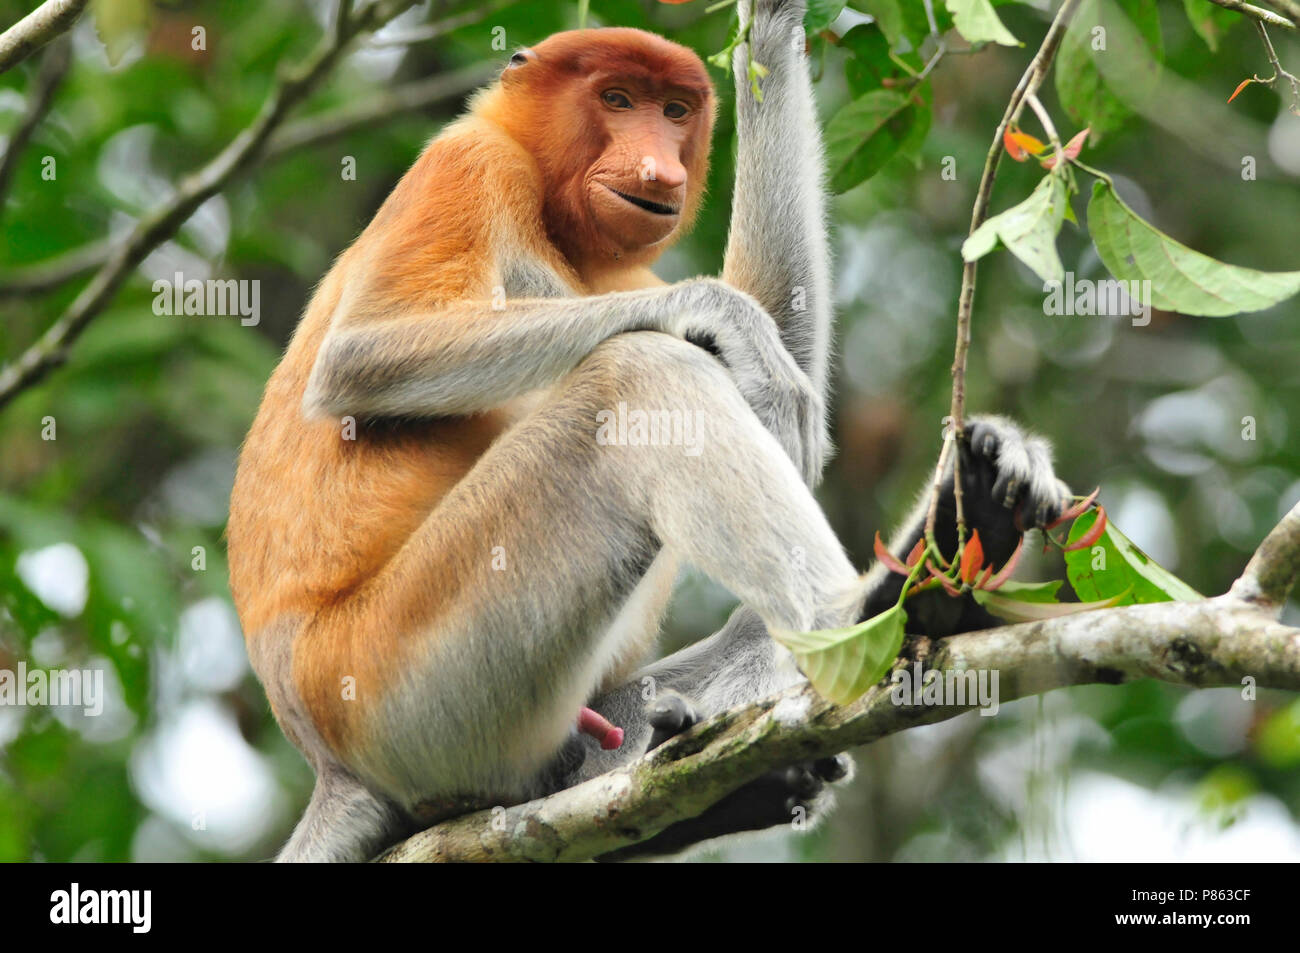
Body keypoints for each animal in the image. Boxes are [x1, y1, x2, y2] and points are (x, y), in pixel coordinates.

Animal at [226, 0, 1070, 863]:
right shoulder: (467, 165)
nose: (660, 170)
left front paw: (772, 24)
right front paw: (722, 317)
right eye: (617, 99)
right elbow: (362, 352)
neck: (553, 221)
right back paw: (878, 615)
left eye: (674, 111)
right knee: (637, 371)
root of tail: (329, 759)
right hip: (399, 679)